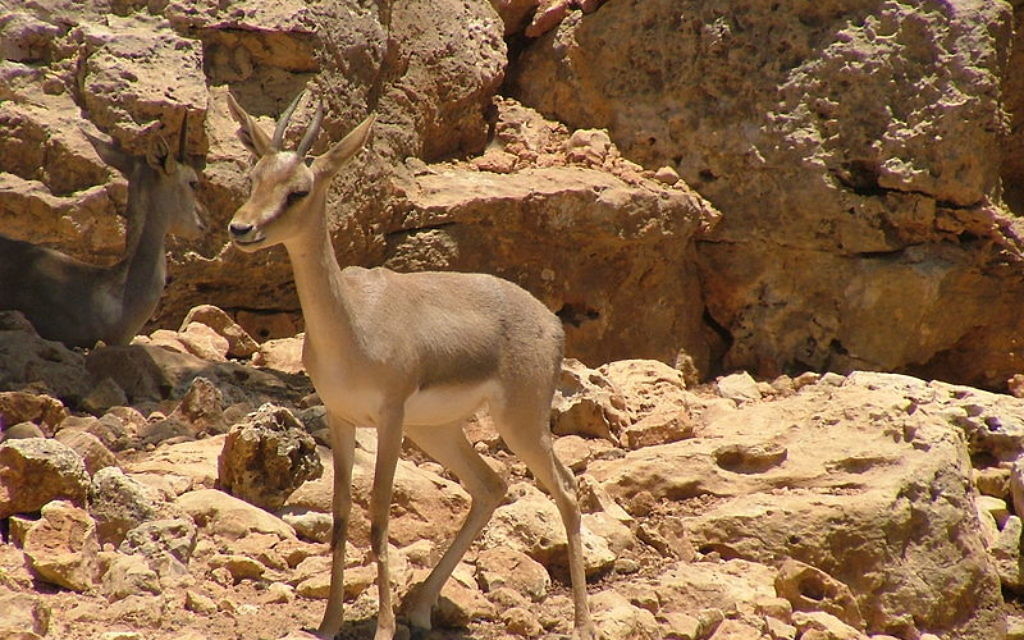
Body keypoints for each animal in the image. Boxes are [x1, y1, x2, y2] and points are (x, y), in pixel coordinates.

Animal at [225, 91, 597, 640]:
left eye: (299, 189)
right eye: (254, 176)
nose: (242, 228)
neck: (352, 325)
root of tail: (550, 321)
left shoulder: (390, 418)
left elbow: (379, 514)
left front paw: (380, 628)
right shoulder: (340, 417)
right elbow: (341, 515)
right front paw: (330, 622)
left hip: (519, 424)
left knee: (567, 490)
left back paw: (581, 624)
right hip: (438, 431)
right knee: (491, 485)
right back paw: (420, 608)